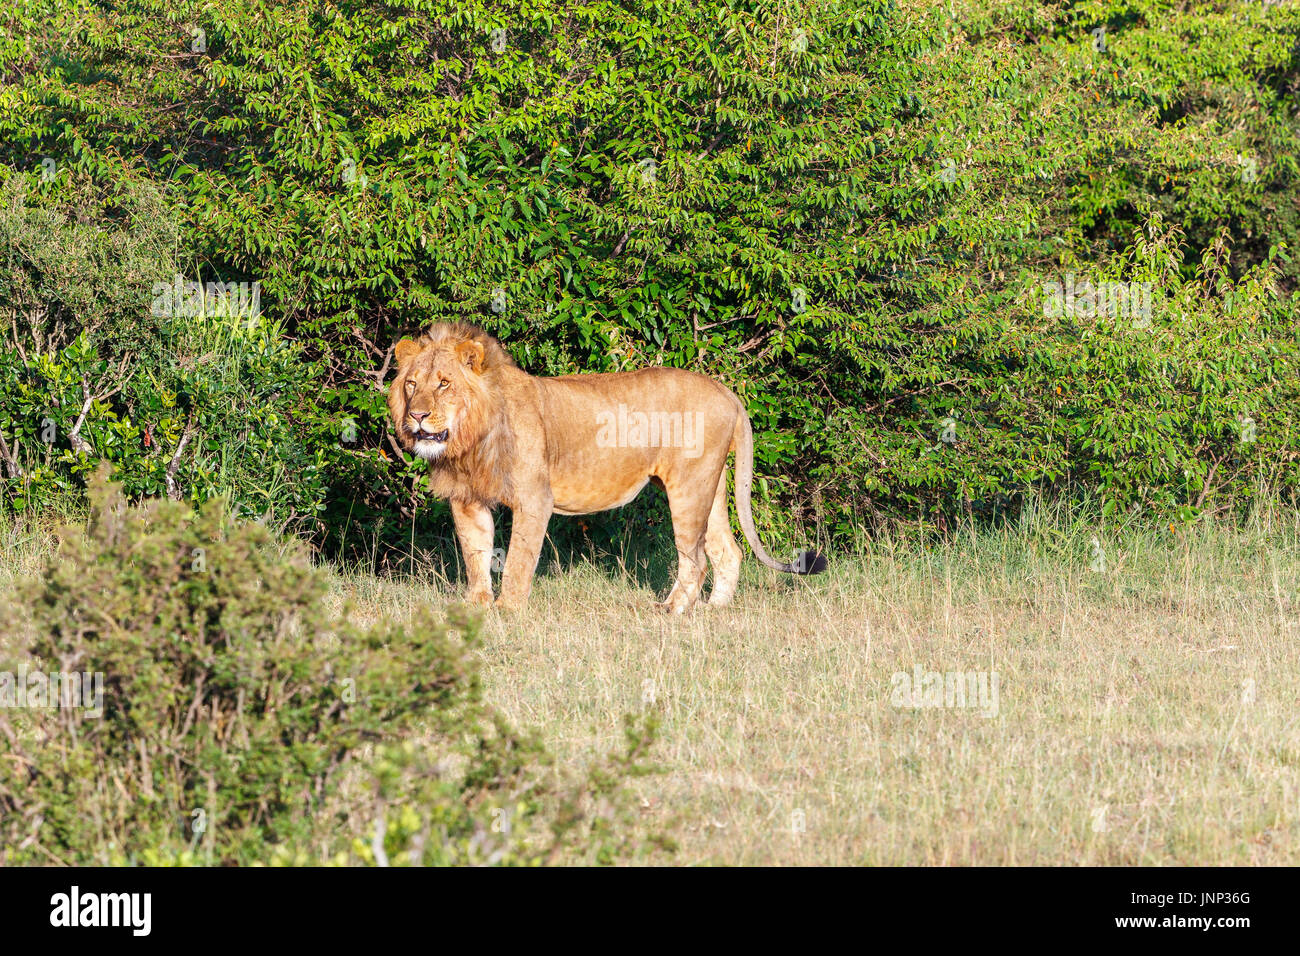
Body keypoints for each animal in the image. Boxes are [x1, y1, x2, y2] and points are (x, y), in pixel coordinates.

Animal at [388, 322, 826, 612]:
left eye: (444, 383)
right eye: (411, 384)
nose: (418, 416)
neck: (470, 440)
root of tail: (726, 391)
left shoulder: (534, 498)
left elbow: (517, 560)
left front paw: (507, 610)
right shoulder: (467, 499)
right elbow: (475, 555)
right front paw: (476, 605)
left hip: (688, 487)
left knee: (696, 559)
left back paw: (671, 611)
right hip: (711, 485)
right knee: (727, 550)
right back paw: (713, 611)